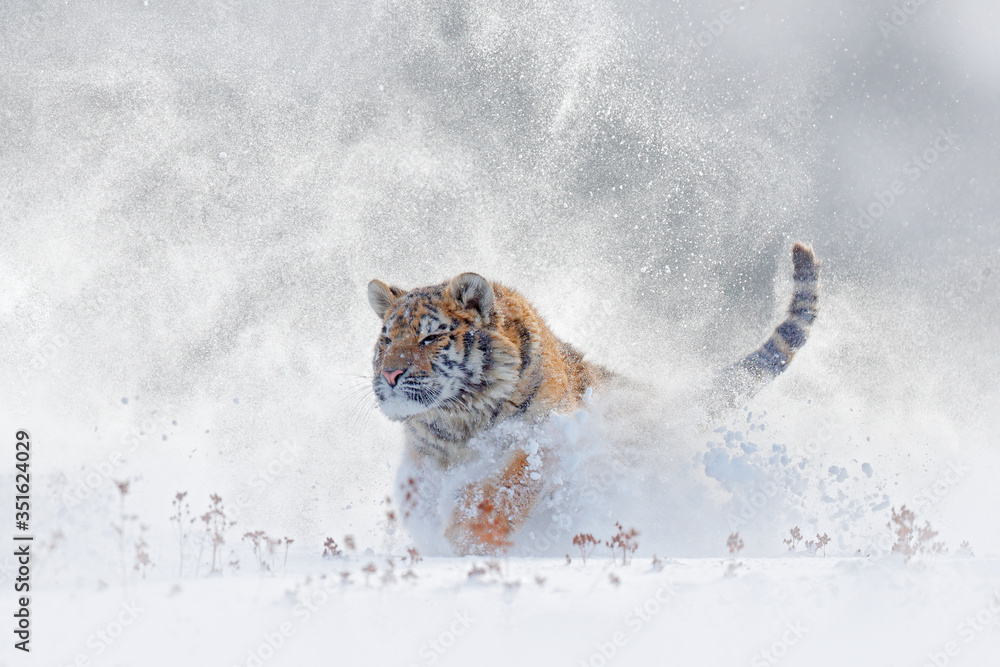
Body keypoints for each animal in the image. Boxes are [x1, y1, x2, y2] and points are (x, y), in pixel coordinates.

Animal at [367, 243, 820, 555]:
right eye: (387, 339)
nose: (390, 374)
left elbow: (503, 488)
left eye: (430, 337)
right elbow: (418, 498)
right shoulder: (425, 455)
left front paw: (471, 537)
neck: (458, 420)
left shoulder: (546, 437)